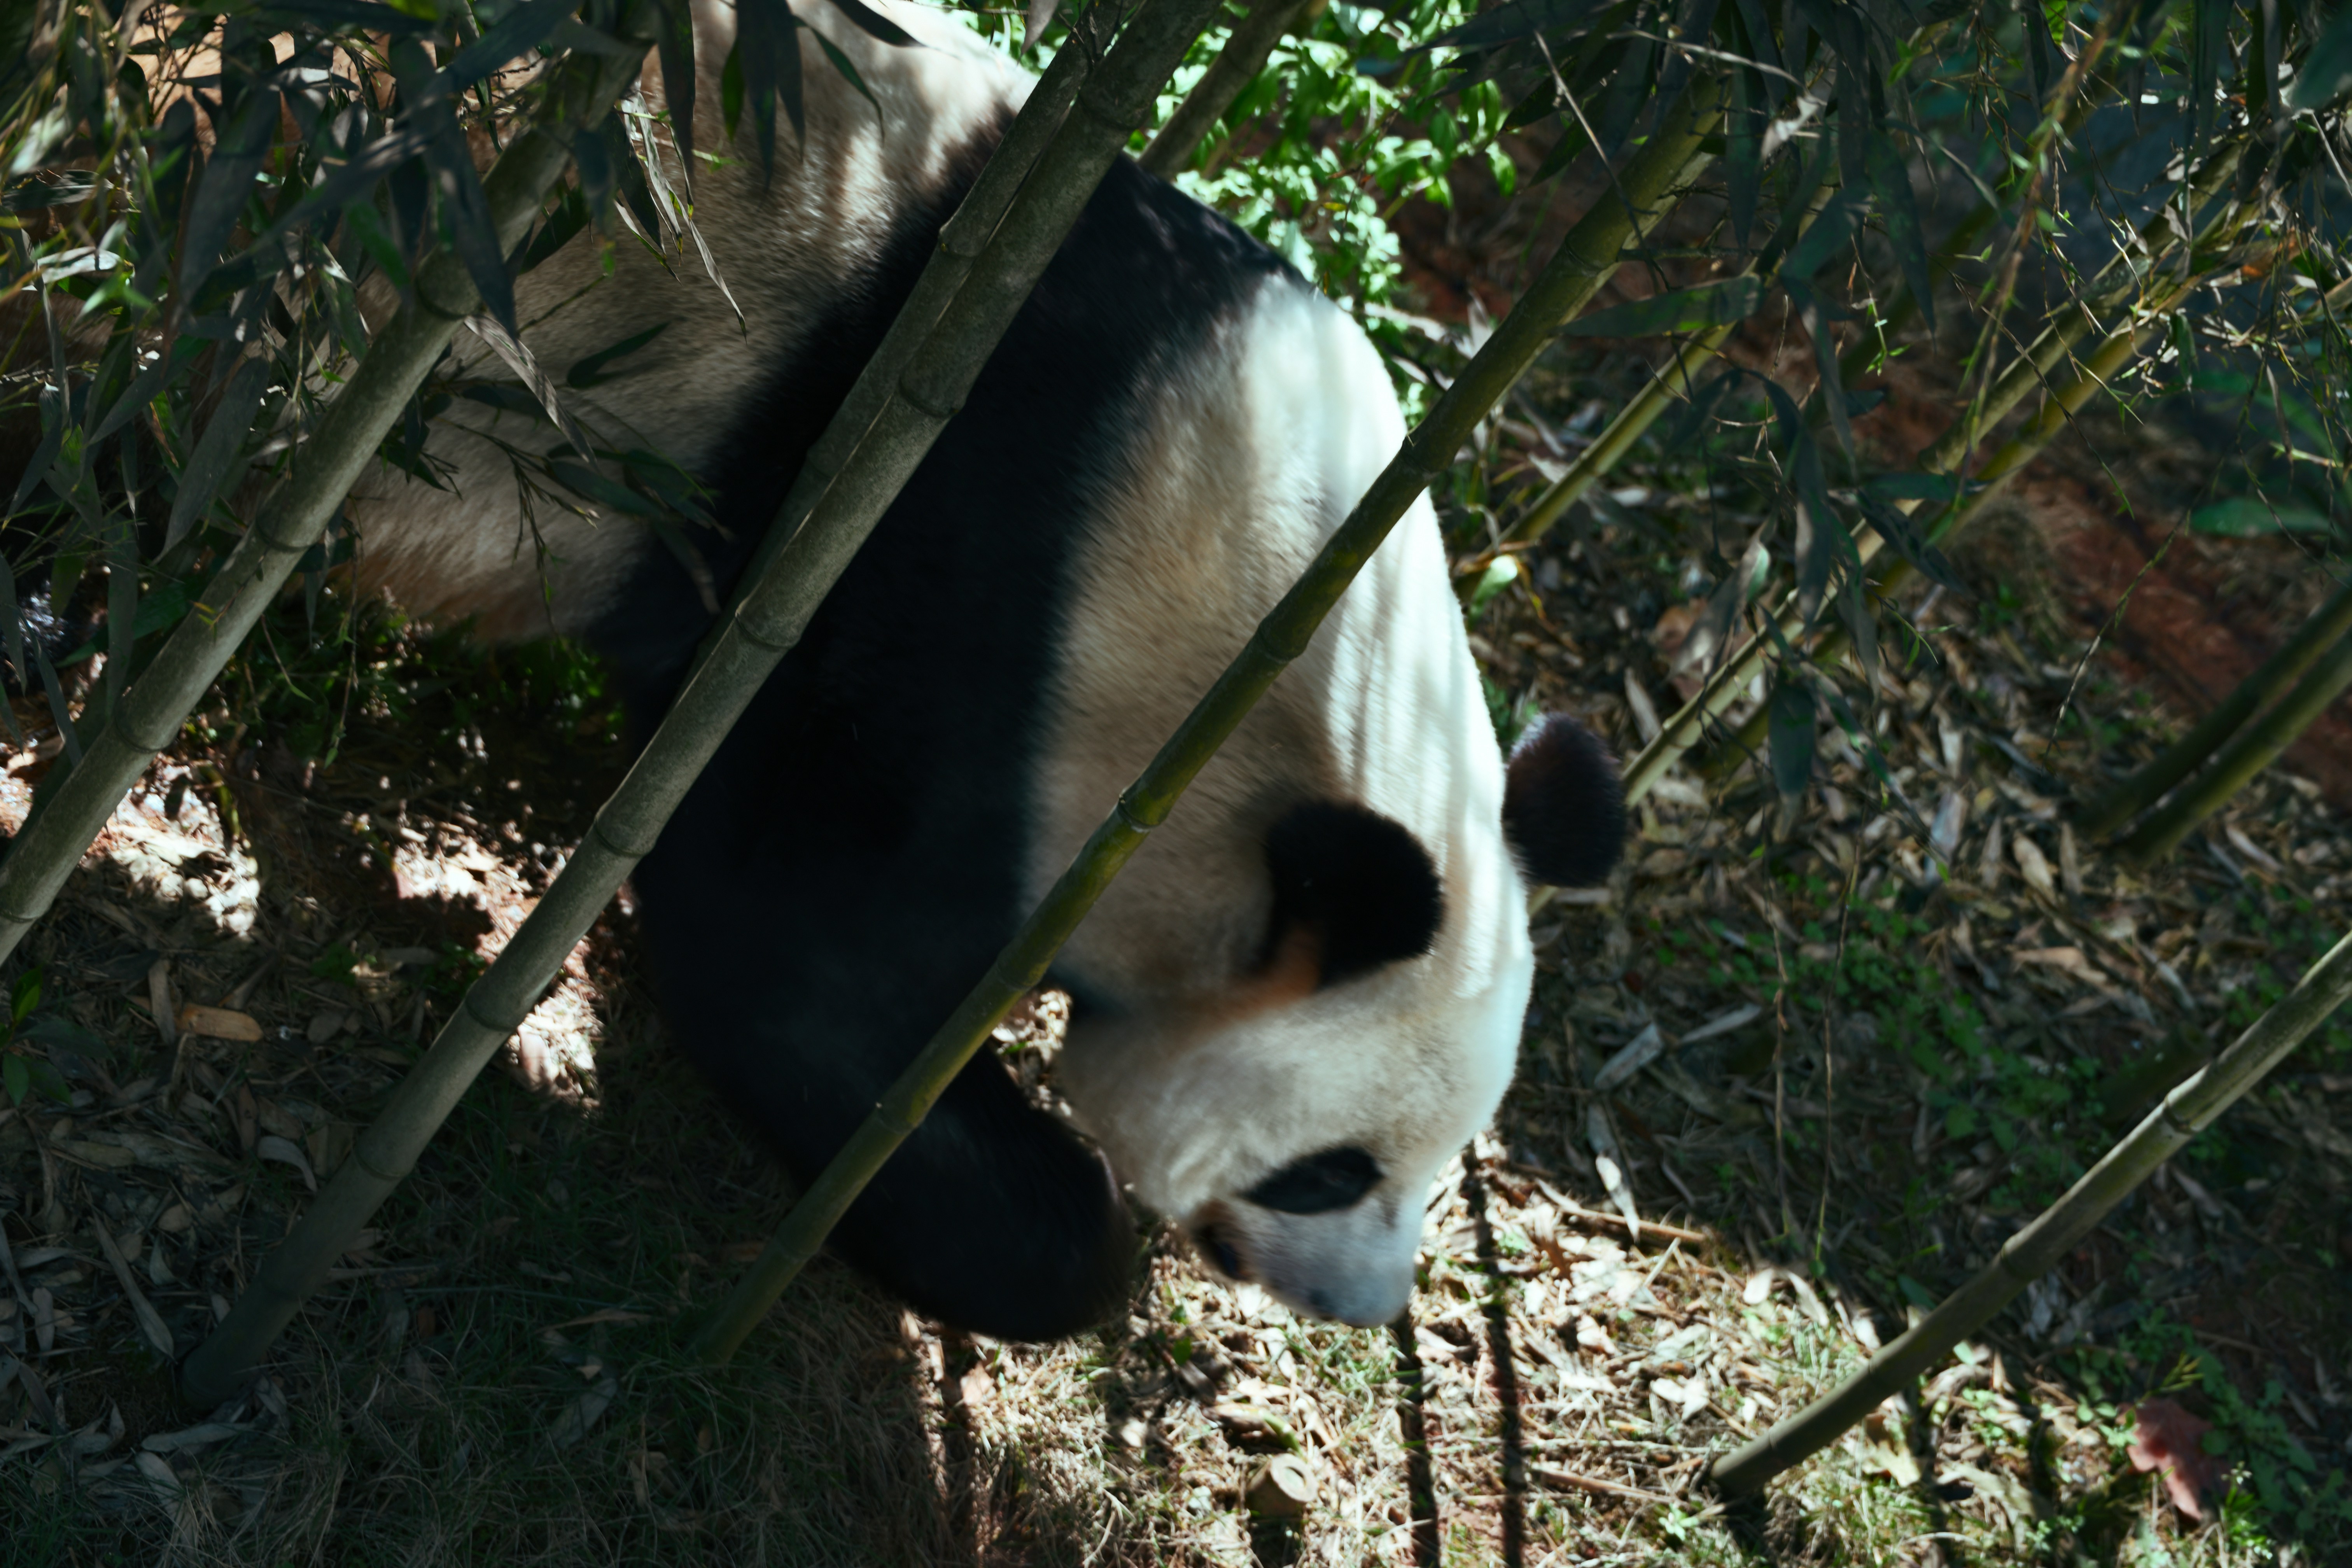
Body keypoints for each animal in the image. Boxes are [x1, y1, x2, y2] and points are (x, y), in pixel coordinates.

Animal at [348, 0, 1625, 1340]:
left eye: (1442, 1159)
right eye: (1329, 1171)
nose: (1362, 1306)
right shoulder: (954, 593)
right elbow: (775, 936)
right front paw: (1068, 1230)